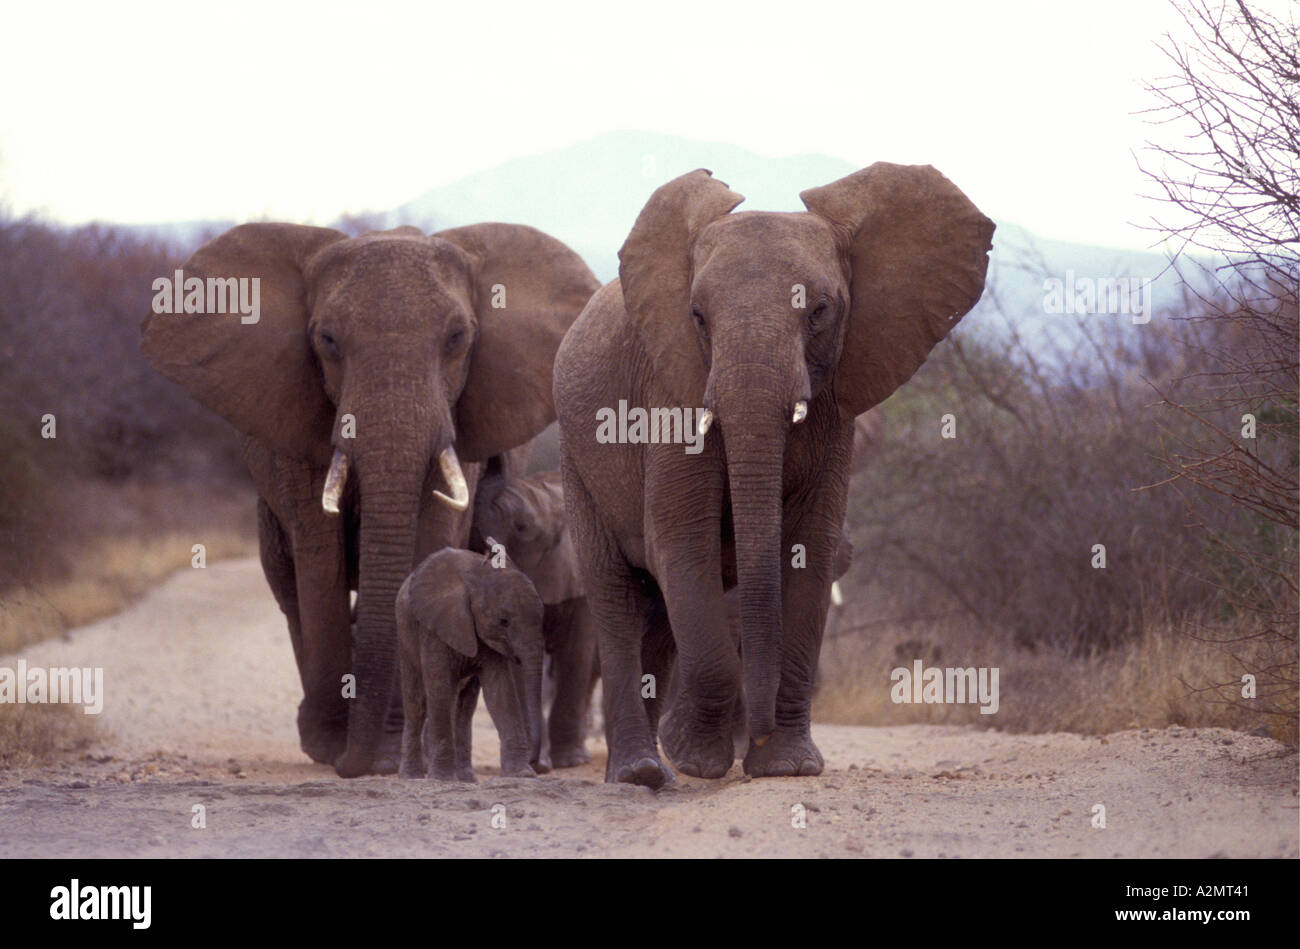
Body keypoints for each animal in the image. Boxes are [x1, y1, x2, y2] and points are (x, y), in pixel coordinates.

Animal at [395, 546, 545, 781]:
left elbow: (499, 691)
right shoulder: (432, 627)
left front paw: (522, 774)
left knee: (463, 707)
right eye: (503, 621)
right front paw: (442, 779)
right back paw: (412, 777)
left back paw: (466, 779)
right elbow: (438, 685)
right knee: (417, 702)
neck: (476, 576)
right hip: (404, 635)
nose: (535, 761)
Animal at [553, 164, 993, 787]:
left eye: (820, 311)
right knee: (616, 594)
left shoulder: (839, 406)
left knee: (659, 615)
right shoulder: (669, 391)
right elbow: (682, 543)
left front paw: (786, 766)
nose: (755, 737)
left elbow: (810, 549)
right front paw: (698, 760)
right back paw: (639, 773)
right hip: (575, 459)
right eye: (696, 317)